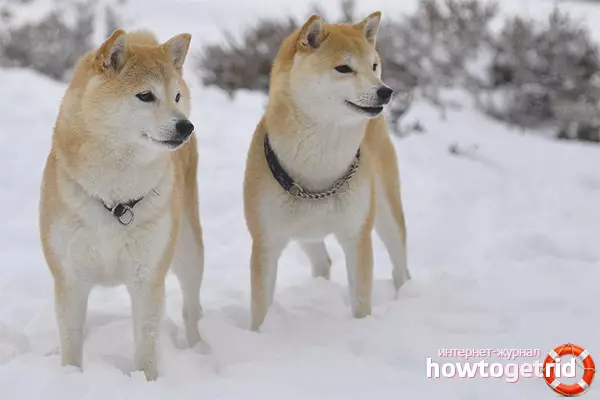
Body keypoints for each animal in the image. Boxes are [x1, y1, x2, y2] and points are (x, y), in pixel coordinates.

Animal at [40, 29, 204, 380]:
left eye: (176, 96)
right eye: (145, 96)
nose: (186, 126)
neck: (115, 200)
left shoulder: (147, 278)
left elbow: (146, 349)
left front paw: (144, 382)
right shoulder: (70, 279)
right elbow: (71, 344)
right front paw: (70, 378)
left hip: (188, 250)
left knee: (191, 309)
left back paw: (199, 349)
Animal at [243, 13, 408, 332]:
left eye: (373, 65)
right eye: (343, 68)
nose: (386, 91)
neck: (319, 173)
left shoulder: (357, 237)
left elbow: (361, 301)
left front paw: (363, 328)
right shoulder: (267, 242)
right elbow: (260, 310)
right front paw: (259, 335)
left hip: (386, 213)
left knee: (400, 268)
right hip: (302, 233)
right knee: (323, 262)